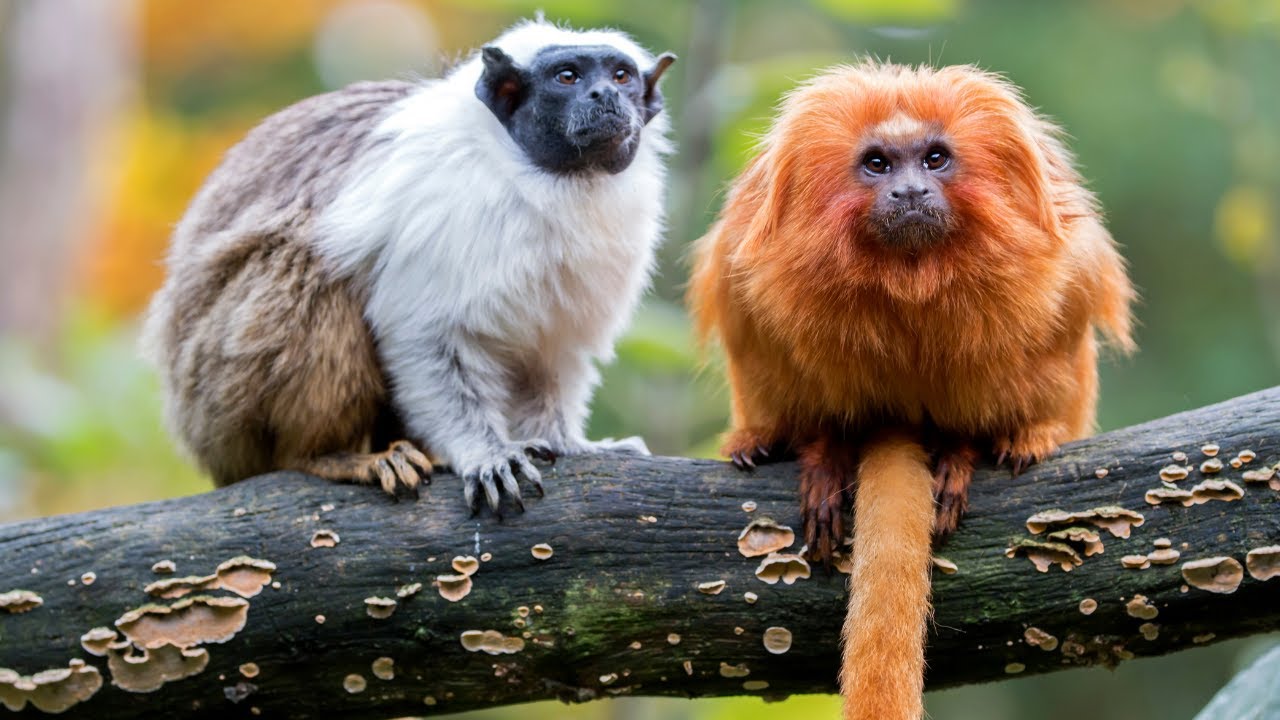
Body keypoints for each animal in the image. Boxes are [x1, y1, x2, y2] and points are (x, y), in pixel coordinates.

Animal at [142, 19, 677, 515]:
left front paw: (567, 442)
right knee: (311, 261)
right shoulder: (443, 205)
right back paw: (328, 456)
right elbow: (424, 337)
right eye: (567, 76)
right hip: (218, 397)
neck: (544, 179)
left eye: (622, 76)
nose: (605, 94)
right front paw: (484, 452)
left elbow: (550, 356)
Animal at [689, 62, 1134, 720]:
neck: (909, 275)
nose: (910, 192)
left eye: (934, 159)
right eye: (878, 164)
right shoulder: (752, 254)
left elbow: (1072, 277)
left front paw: (965, 449)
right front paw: (823, 452)